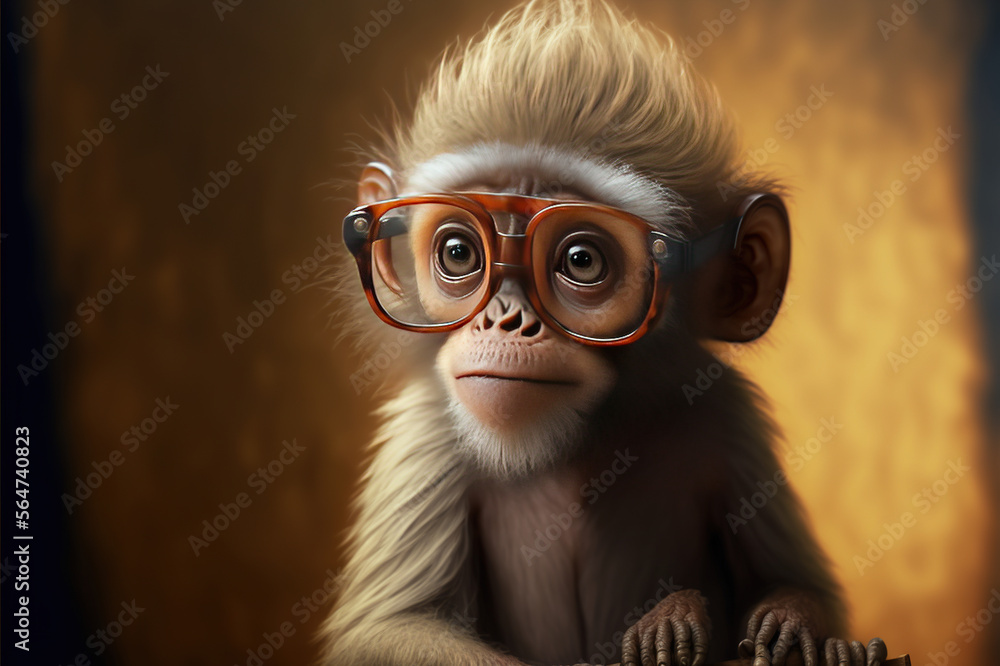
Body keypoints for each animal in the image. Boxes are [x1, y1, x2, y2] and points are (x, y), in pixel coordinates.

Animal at [322, 2, 888, 665]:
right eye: (459, 252)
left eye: (581, 260)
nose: (504, 320)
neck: (575, 443)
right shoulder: (427, 427)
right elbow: (385, 630)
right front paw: (676, 616)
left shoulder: (730, 414)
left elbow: (798, 586)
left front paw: (761, 625)